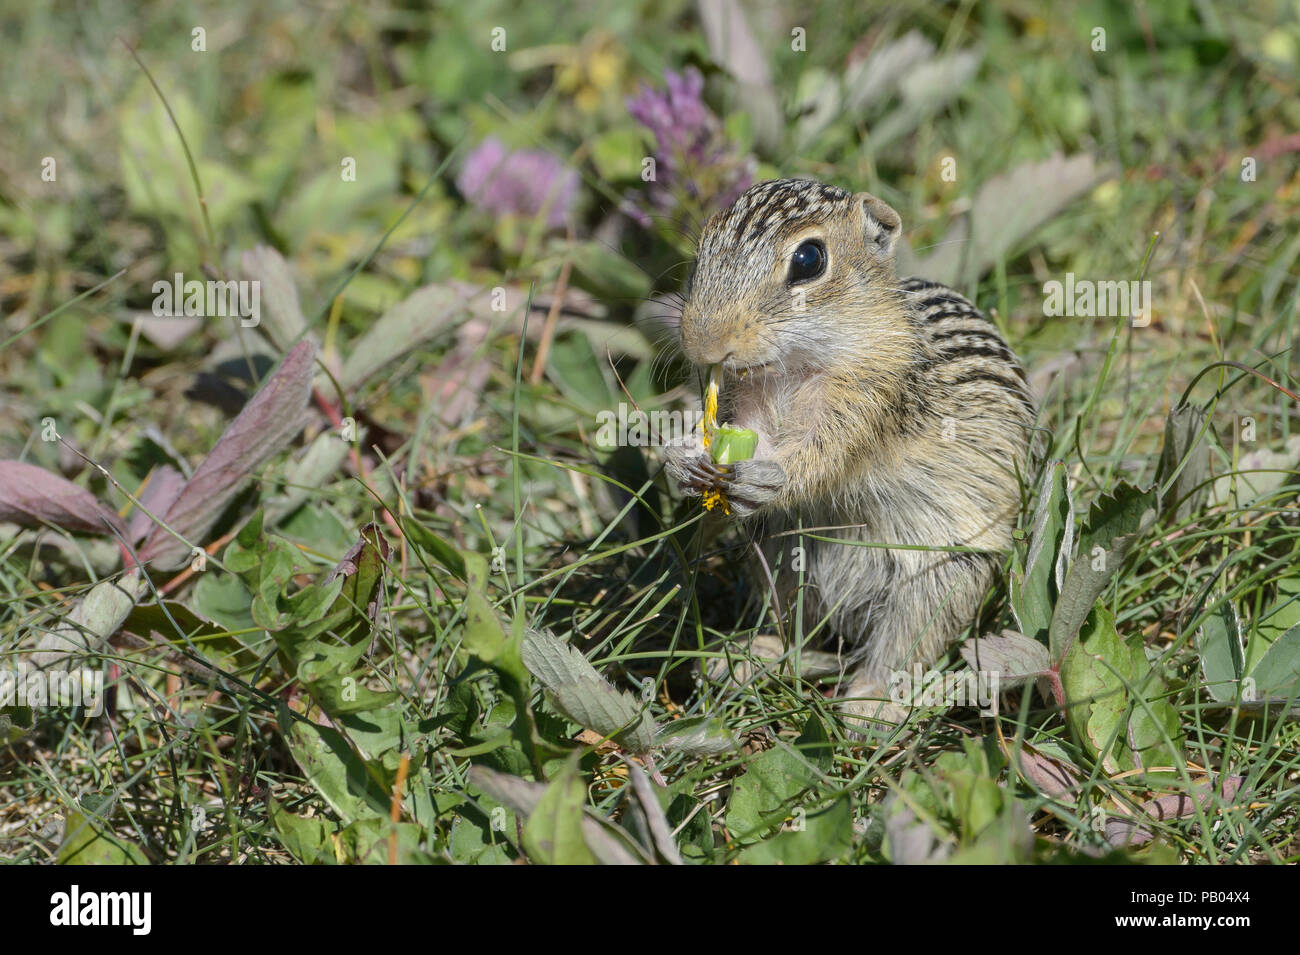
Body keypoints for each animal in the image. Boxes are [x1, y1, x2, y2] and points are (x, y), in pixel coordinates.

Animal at [663, 178, 1036, 735]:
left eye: (809, 259)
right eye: (700, 249)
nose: (704, 343)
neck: (793, 367)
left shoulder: (871, 402)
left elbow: (824, 456)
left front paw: (768, 478)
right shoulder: (740, 400)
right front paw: (681, 456)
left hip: (938, 582)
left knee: (903, 649)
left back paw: (868, 703)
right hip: (778, 562)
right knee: (796, 630)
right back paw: (752, 660)